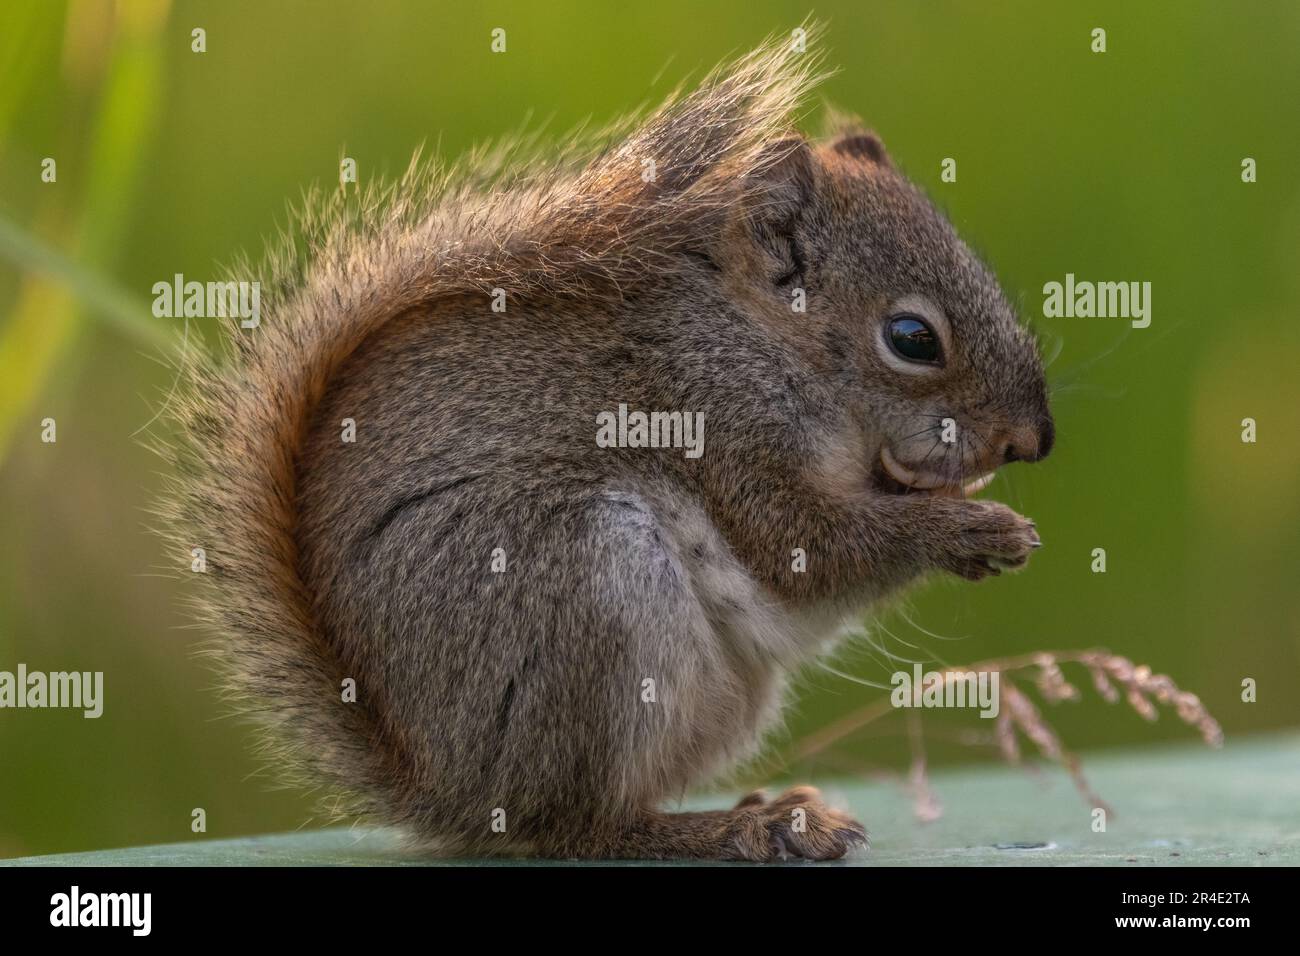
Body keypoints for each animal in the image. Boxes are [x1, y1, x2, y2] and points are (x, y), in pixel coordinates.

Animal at [162, 36, 1053, 862]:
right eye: (912, 338)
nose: (1033, 441)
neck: (766, 342)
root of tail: (449, 791)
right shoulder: (714, 415)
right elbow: (803, 546)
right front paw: (971, 530)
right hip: (584, 587)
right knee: (581, 827)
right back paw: (727, 829)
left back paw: (776, 811)